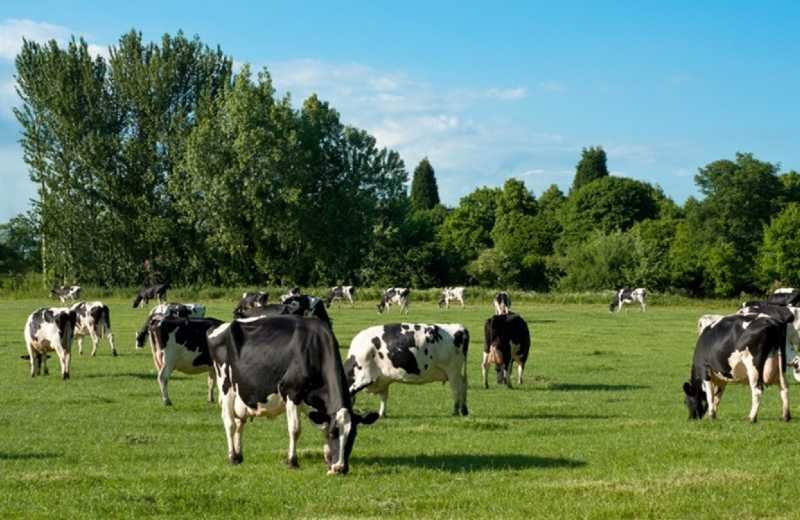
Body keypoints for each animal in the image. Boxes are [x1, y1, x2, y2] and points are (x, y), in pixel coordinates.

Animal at [207, 315, 379, 474]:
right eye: (333, 433)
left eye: (353, 435)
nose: (340, 468)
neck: (314, 349)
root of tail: (221, 325)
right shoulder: (292, 392)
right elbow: (295, 429)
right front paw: (292, 461)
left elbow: (323, 425)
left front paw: (328, 460)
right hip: (225, 385)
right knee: (229, 422)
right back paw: (232, 457)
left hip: (242, 393)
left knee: (239, 422)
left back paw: (239, 455)